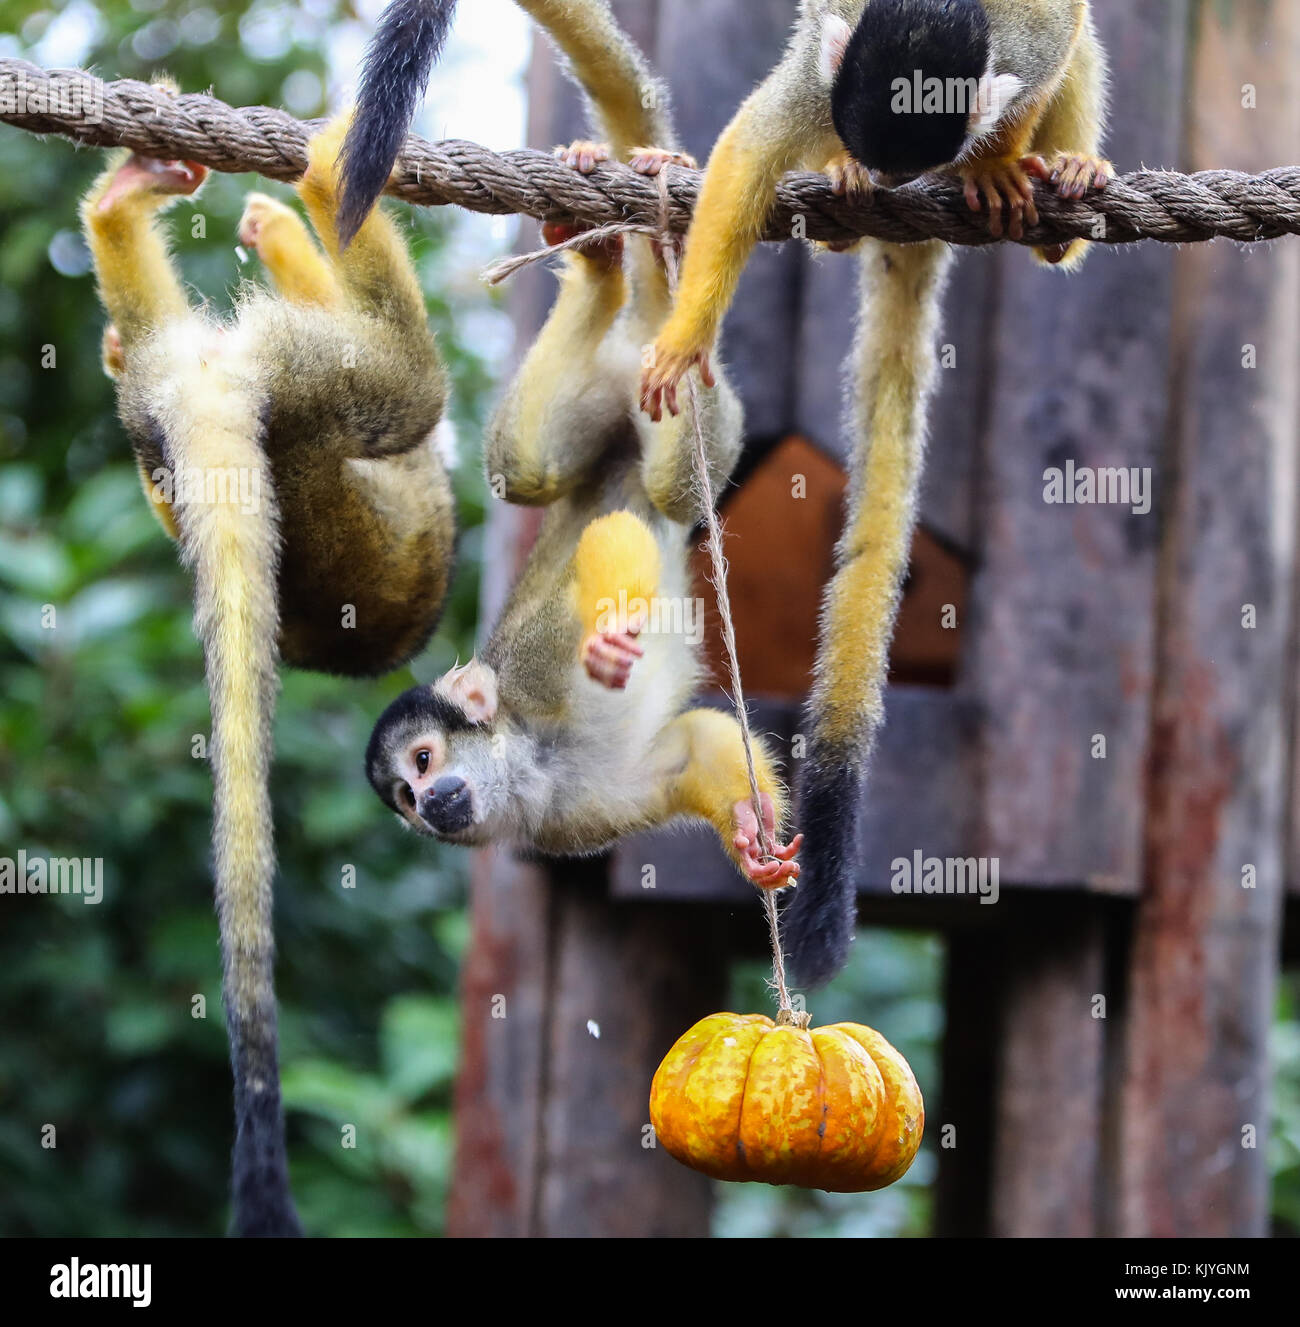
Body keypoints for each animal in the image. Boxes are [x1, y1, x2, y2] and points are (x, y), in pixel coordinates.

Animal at [80, 111, 456, 1235]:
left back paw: (121, 224)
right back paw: (329, 191)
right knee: (414, 393)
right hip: (318, 381)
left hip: (266, 381)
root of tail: (228, 396)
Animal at [365, 1, 803, 890]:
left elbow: (619, 537)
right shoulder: (564, 823)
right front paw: (748, 833)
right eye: (404, 796)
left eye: (424, 761)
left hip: (693, 412)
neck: (527, 761)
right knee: (528, 473)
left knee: (663, 492)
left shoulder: (535, 672)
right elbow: (692, 749)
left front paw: (608, 642)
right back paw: (601, 265)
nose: (430, 806)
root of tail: (648, 339)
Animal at [640, 0, 1111, 419]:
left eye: (908, 172)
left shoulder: (1037, 43)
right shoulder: (821, 73)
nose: (884, 180)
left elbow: (1061, 46)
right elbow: (747, 157)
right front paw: (686, 339)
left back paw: (1066, 206)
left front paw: (992, 164)